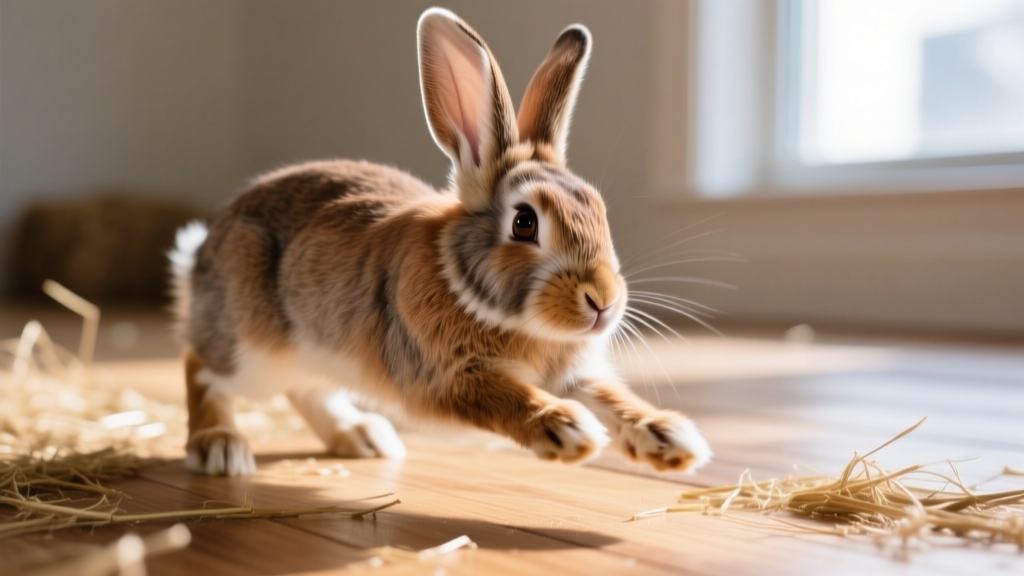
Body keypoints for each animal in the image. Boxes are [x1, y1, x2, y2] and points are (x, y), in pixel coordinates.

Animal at [169, 7, 712, 477]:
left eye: (599, 211)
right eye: (525, 223)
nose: (603, 301)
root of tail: (203, 252)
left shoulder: (571, 375)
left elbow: (612, 397)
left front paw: (671, 439)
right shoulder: (444, 376)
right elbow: (507, 397)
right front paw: (566, 428)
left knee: (306, 389)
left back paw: (363, 436)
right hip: (254, 347)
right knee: (201, 365)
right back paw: (220, 447)